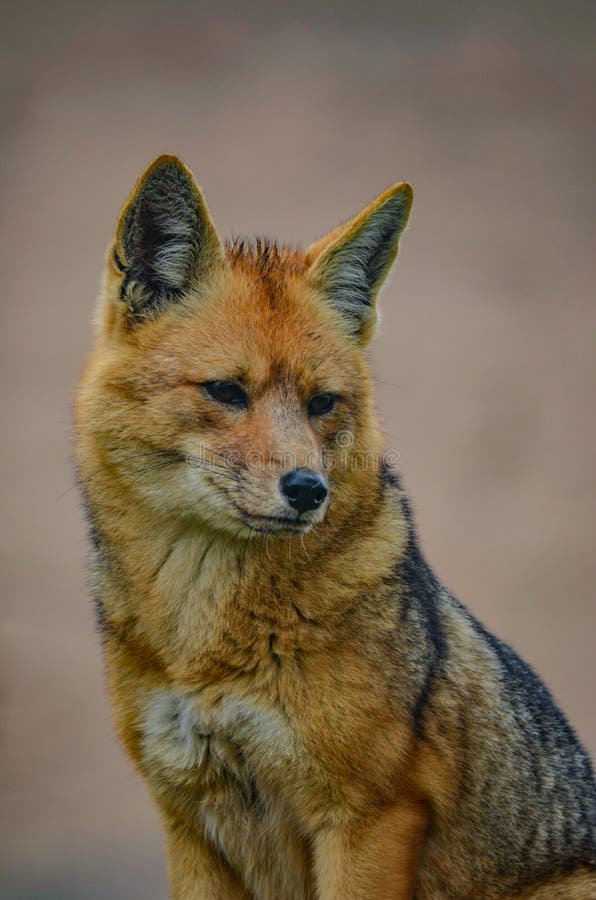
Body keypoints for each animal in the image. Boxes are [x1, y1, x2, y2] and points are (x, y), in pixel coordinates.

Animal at [75, 154, 596, 899]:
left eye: (322, 402)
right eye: (226, 391)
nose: (306, 490)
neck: (207, 650)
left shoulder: (367, 818)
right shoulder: (188, 823)